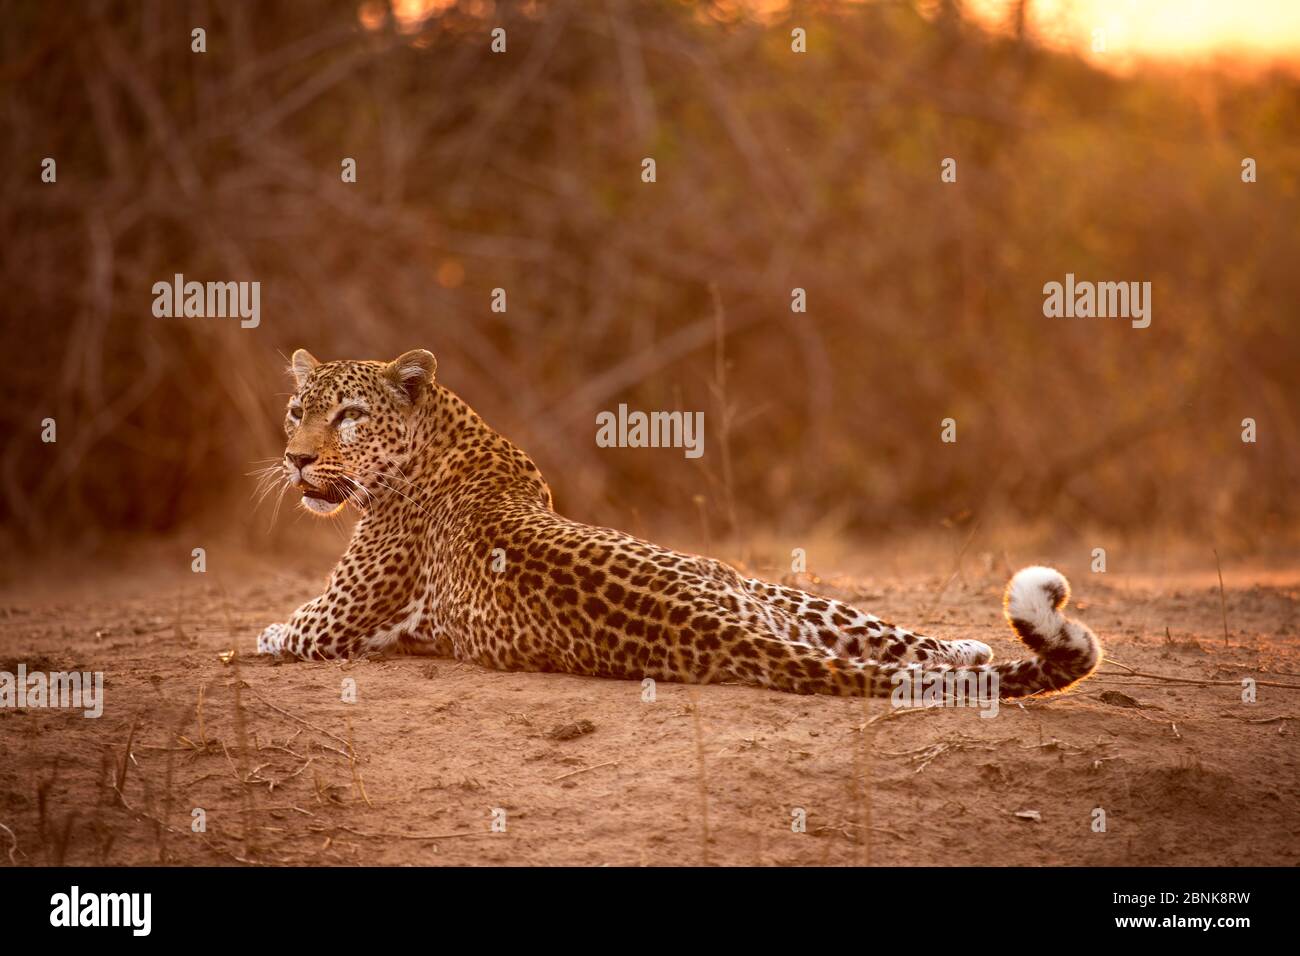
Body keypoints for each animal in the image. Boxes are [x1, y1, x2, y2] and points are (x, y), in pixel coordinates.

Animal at [255, 348, 1102, 700]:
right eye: (296, 411)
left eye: (348, 416)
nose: (296, 459)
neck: (447, 431)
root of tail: (715, 628)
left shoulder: (331, 620)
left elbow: (275, 631)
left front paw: (260, 636)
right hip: (762, 597)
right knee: (881, 642)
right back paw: (965, 648)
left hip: (751, 585)